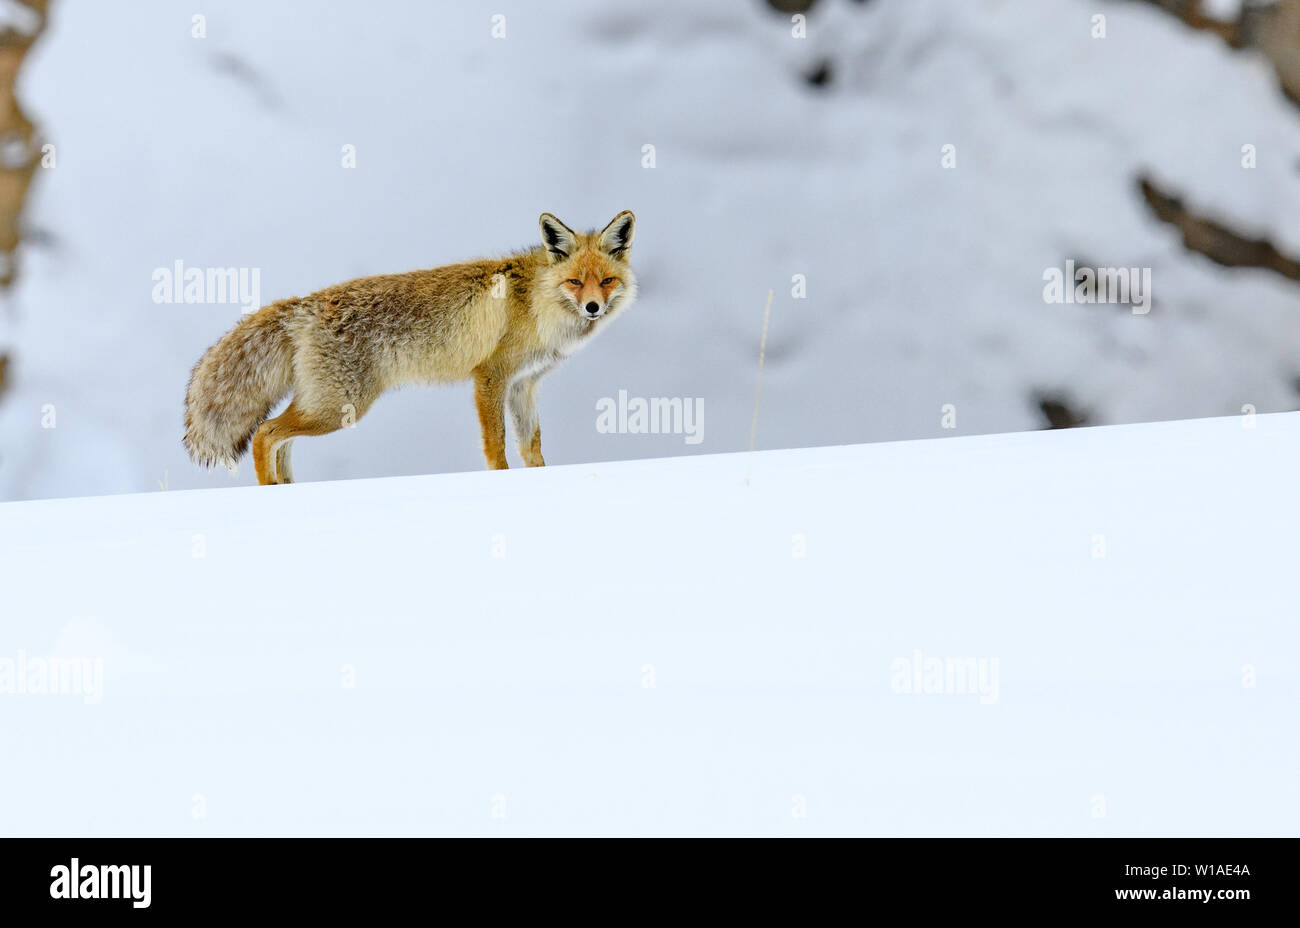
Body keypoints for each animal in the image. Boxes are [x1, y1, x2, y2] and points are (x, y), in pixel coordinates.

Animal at [183, 210, 636, 485]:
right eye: (575, 282)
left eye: (606, 281)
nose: (593, 308)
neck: (536, 304)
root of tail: (304, 303)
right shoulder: (489, 378)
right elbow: (497, 446)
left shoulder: (525, 385)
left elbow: (533, 449)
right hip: (340, 407)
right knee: (265, 433)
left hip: (324, 405)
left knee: (281, 440)